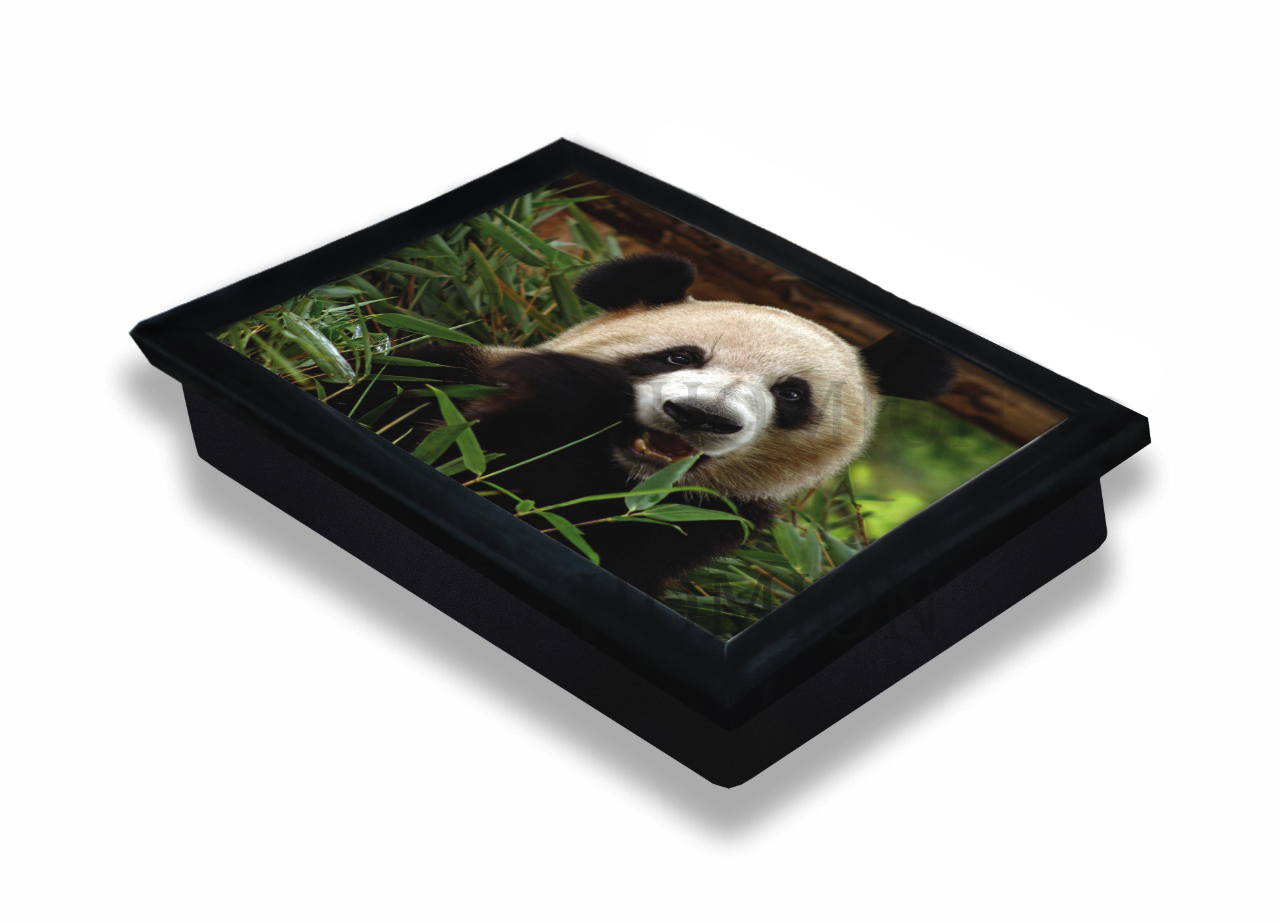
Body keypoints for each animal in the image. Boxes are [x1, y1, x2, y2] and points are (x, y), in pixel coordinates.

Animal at [345, 253, 954, 597]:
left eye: (791, 393)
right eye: (679, 357)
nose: (701, 415)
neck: (614, 473)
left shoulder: (692, 525)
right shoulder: (458, 385)